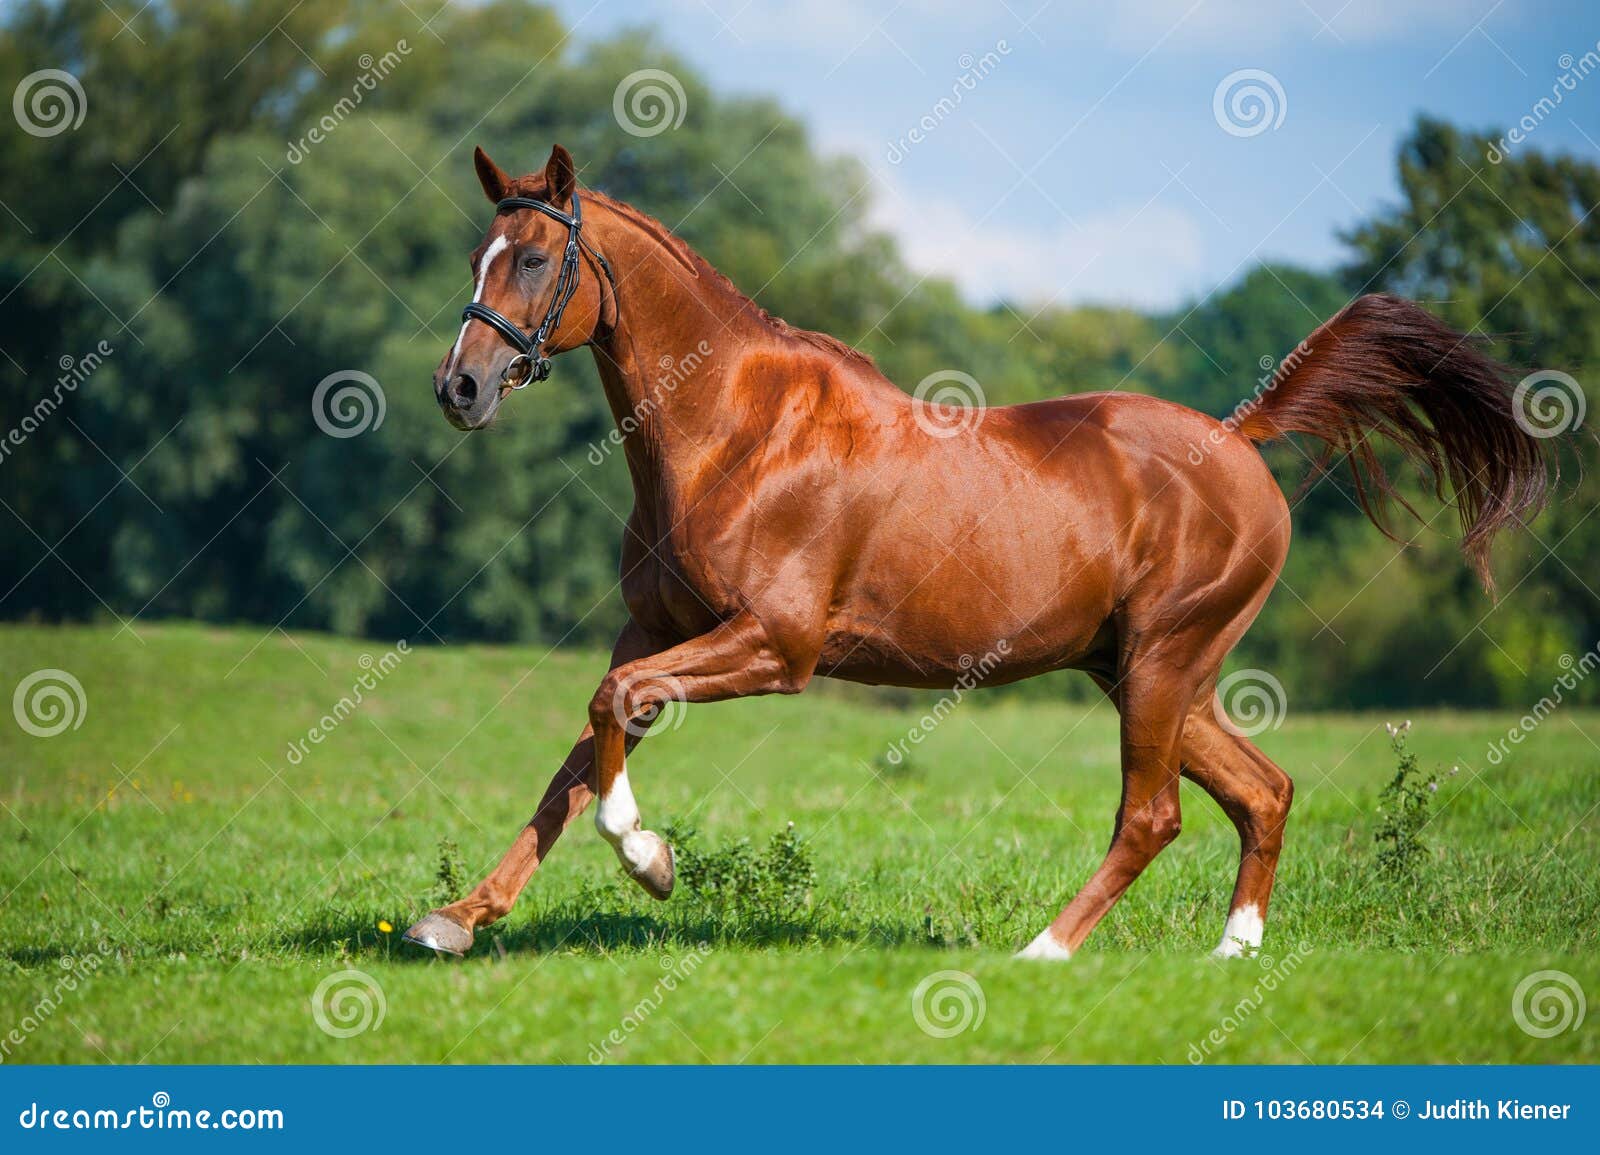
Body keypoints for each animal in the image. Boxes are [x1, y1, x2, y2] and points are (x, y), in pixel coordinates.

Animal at [402, 144, 1550, 960]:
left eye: (535, 259)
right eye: (477, 259)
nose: (459, 388)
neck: (734, 433)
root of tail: (1237, 440)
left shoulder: (775, 646)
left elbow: (613, 716)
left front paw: (649, 860)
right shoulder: (653, 628)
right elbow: (576, 761)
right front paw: (455, 917)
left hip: (1161, 665)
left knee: (1153, 815)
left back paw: (1043, 951)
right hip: (1145, 670)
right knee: (1261, 791)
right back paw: (1232, 953)